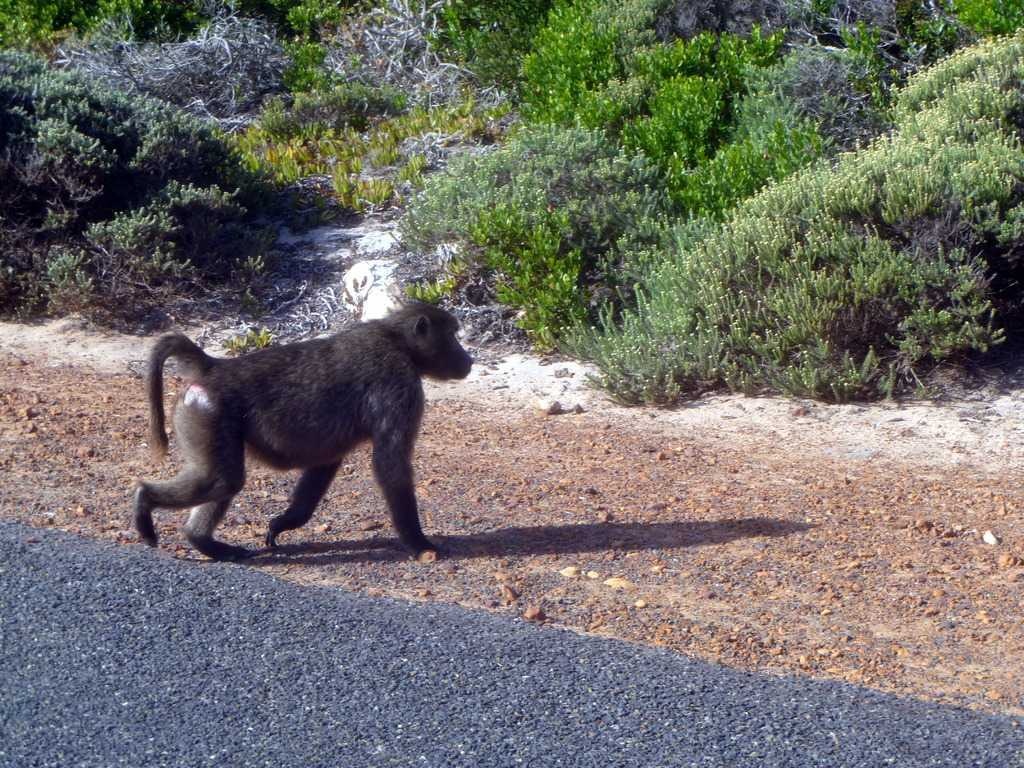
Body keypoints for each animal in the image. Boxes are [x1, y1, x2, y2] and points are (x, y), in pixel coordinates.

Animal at [133, 303, 473, 562]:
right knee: (221, 480)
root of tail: (213, 366)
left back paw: (204, 542)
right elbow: (391, 466)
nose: (469, 359)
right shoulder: (399, 385)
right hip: (209, 415)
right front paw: (420, 545)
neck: (398, 340)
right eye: (452, 335)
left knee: (222, 479)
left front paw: (282, 524)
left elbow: (324, 466)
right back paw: (144, 502)